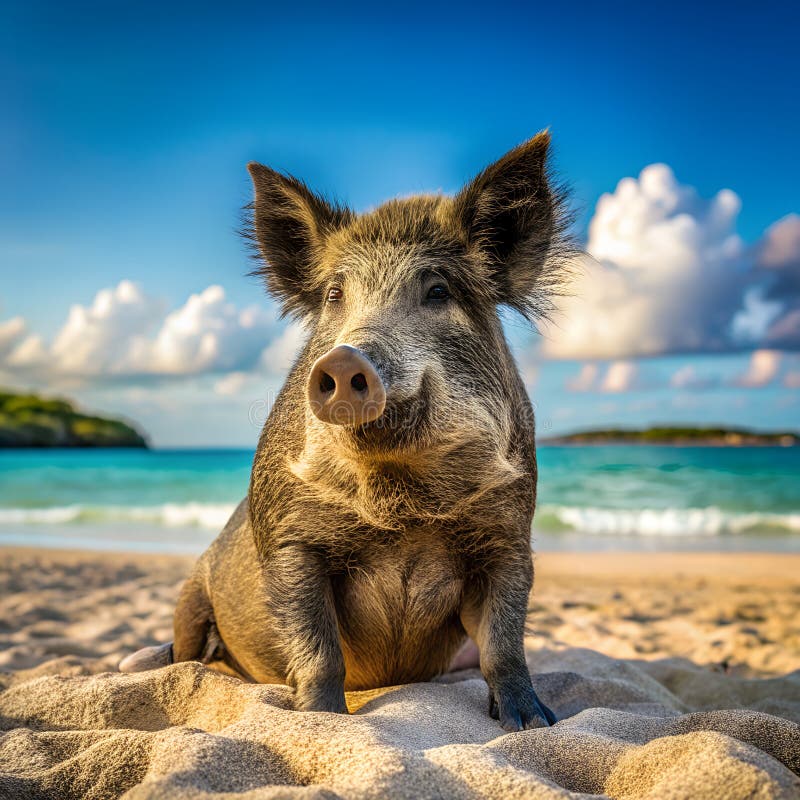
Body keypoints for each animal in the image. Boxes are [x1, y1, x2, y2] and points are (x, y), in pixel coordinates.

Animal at [119, 132, 570, 730]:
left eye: (437, 291)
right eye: (336, 294)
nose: (343, 359)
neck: (403, 507)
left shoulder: (510, 537)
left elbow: (504, 643)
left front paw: (533, 723)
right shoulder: (289, 540)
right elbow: (319, 649)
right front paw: (319, 719)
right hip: (191, 591)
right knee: (186, 652)